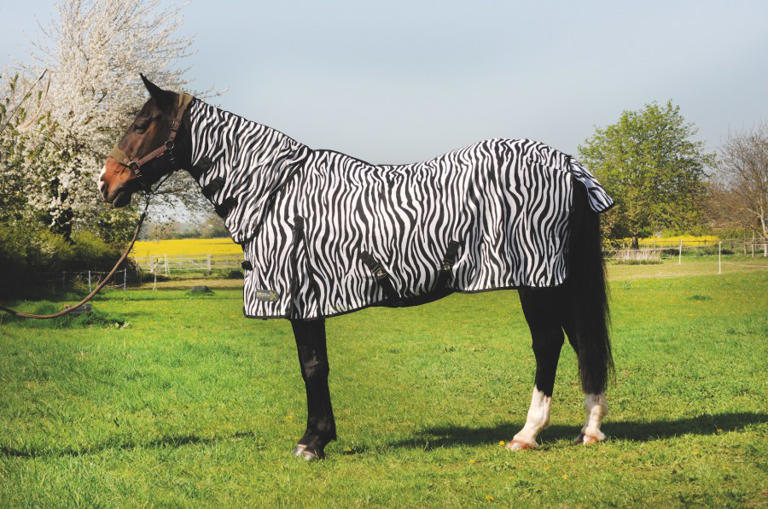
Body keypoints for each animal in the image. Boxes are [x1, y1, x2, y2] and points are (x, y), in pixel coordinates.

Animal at [98, 75, 614, 460]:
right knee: (581, 341)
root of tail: (567, 165)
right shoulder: (310, 297)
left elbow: (312, 367)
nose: (107, 182)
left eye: (142, 123)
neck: (274, 191)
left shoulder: (301, 296)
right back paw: (589, 430)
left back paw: (528, 434)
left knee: (549, 344)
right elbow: (318, 365)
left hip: (537, 280)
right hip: (559, 280)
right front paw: (320, 436)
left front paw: (312, 442)